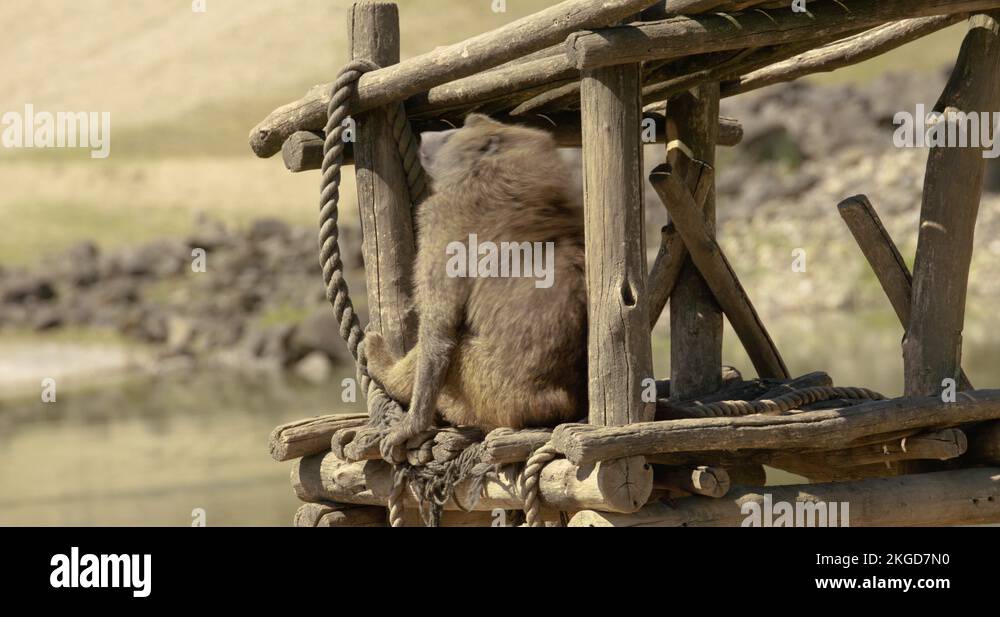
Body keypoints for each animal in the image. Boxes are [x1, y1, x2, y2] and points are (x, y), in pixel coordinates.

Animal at [365, 113, 587, 448]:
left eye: (458, 131)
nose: (428, 135)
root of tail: (557, 402)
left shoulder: (439, 219)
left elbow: (439, 332)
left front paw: (411, 425)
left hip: (487, 395)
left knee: (454, 347)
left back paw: (384, 369)